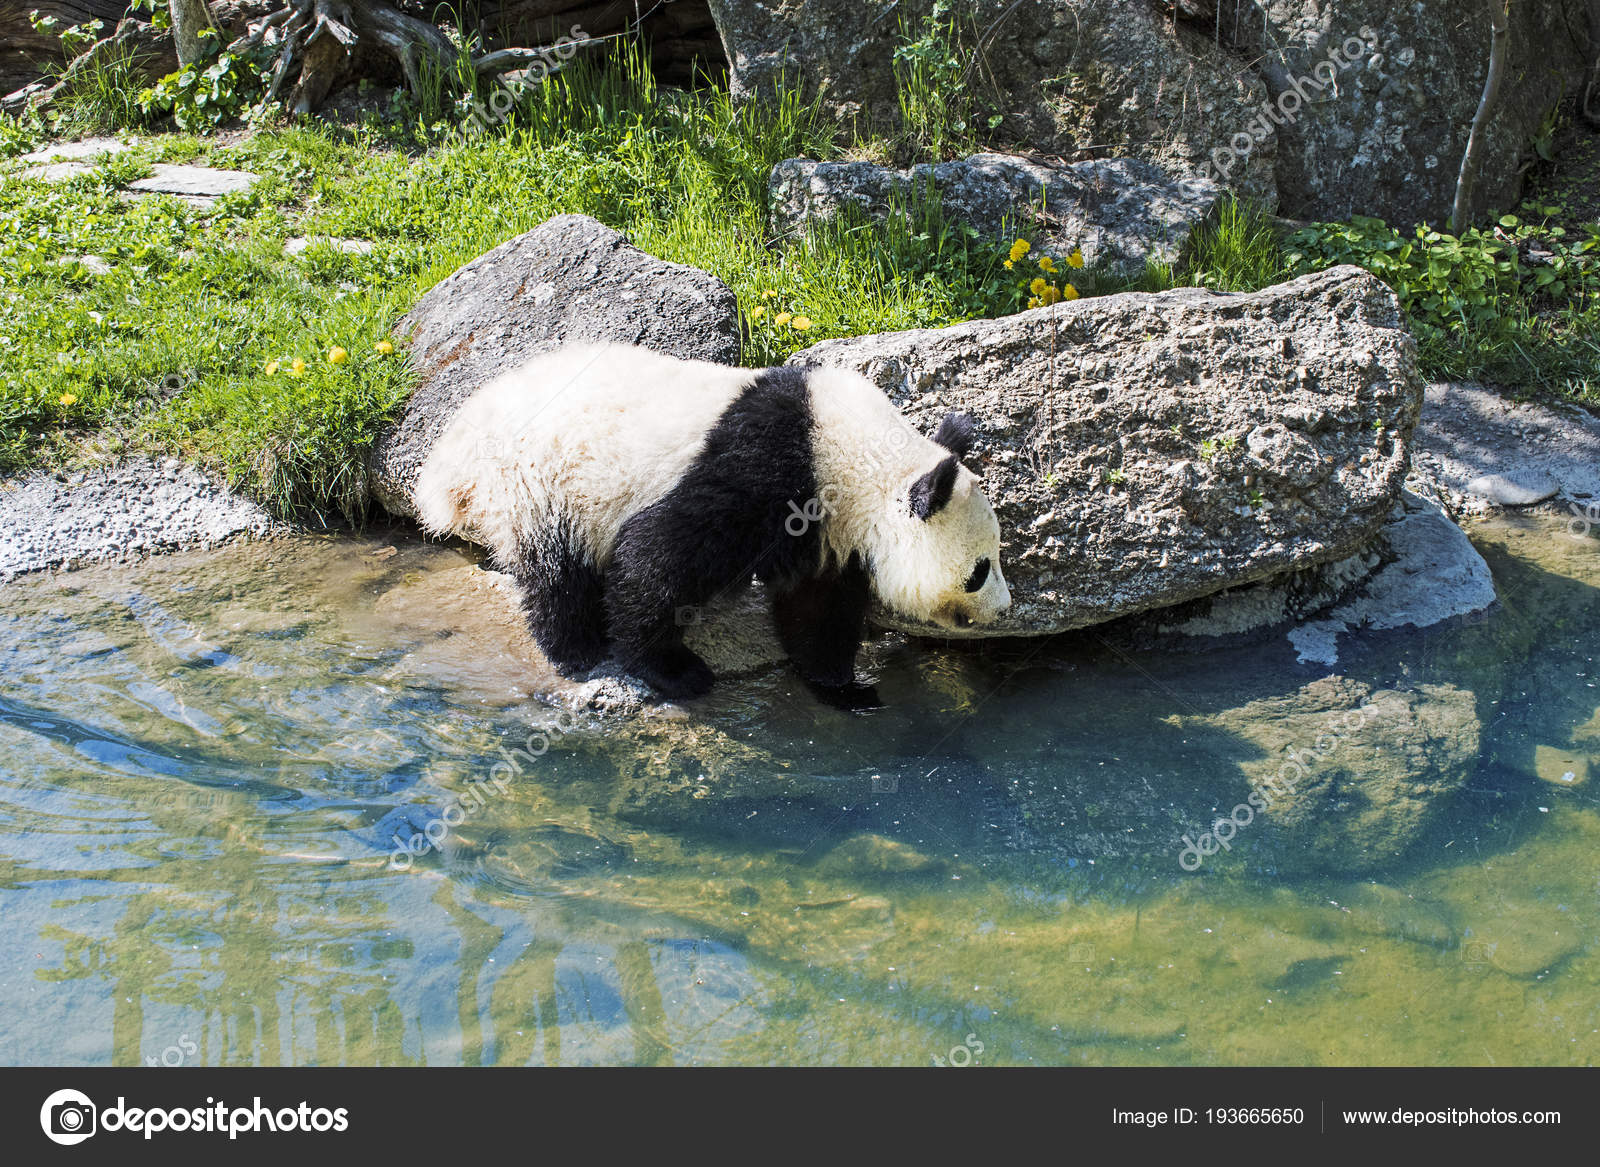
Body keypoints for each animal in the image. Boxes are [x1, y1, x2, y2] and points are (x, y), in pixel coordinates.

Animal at [414, 343, 1011, 705]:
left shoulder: (825, 524)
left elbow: (817, 604)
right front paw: (674, 670)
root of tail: (453, 447)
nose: (1005, 610)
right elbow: (655, 555)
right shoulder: (765, 468)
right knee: (555, 565)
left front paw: (844, 688)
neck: (861, 455)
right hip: (537, 477)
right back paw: (575, 646)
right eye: (980, 570)